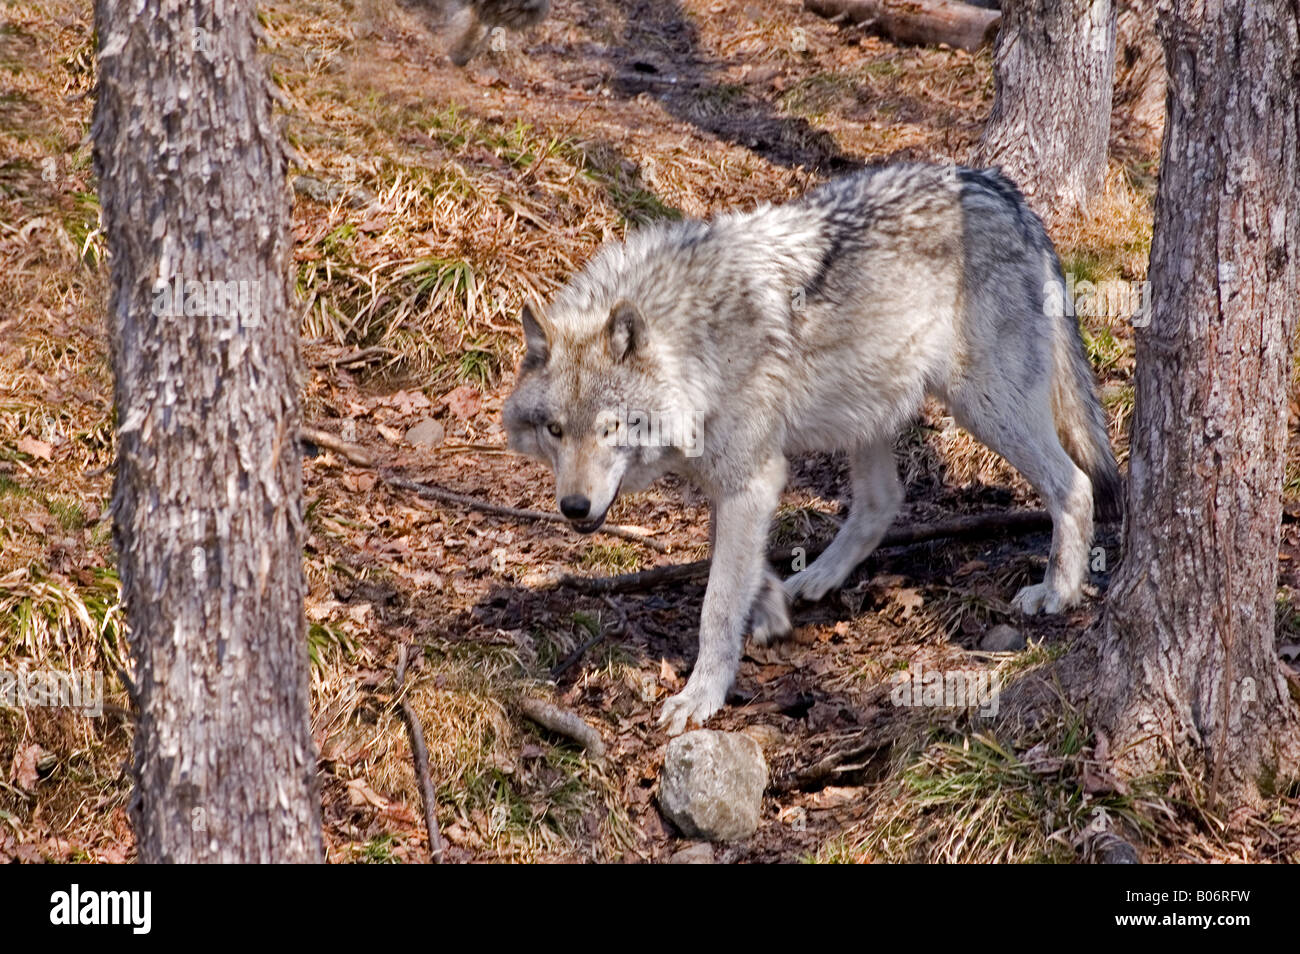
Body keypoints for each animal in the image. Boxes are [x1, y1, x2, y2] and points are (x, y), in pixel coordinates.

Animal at [504, 163, 1121, 735]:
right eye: (555, 430)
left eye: (612, 428)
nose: (574, 508)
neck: (697, 342)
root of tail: (1004, 191)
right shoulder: (738, 486)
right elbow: (743, 570)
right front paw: (771, 609)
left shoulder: (751, 479)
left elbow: (717, 604)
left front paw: (700, 697)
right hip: (869, 411)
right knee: (882, 504)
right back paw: (819, 578)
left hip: (983, 407)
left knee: (1074, 484)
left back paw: (1059, 590)